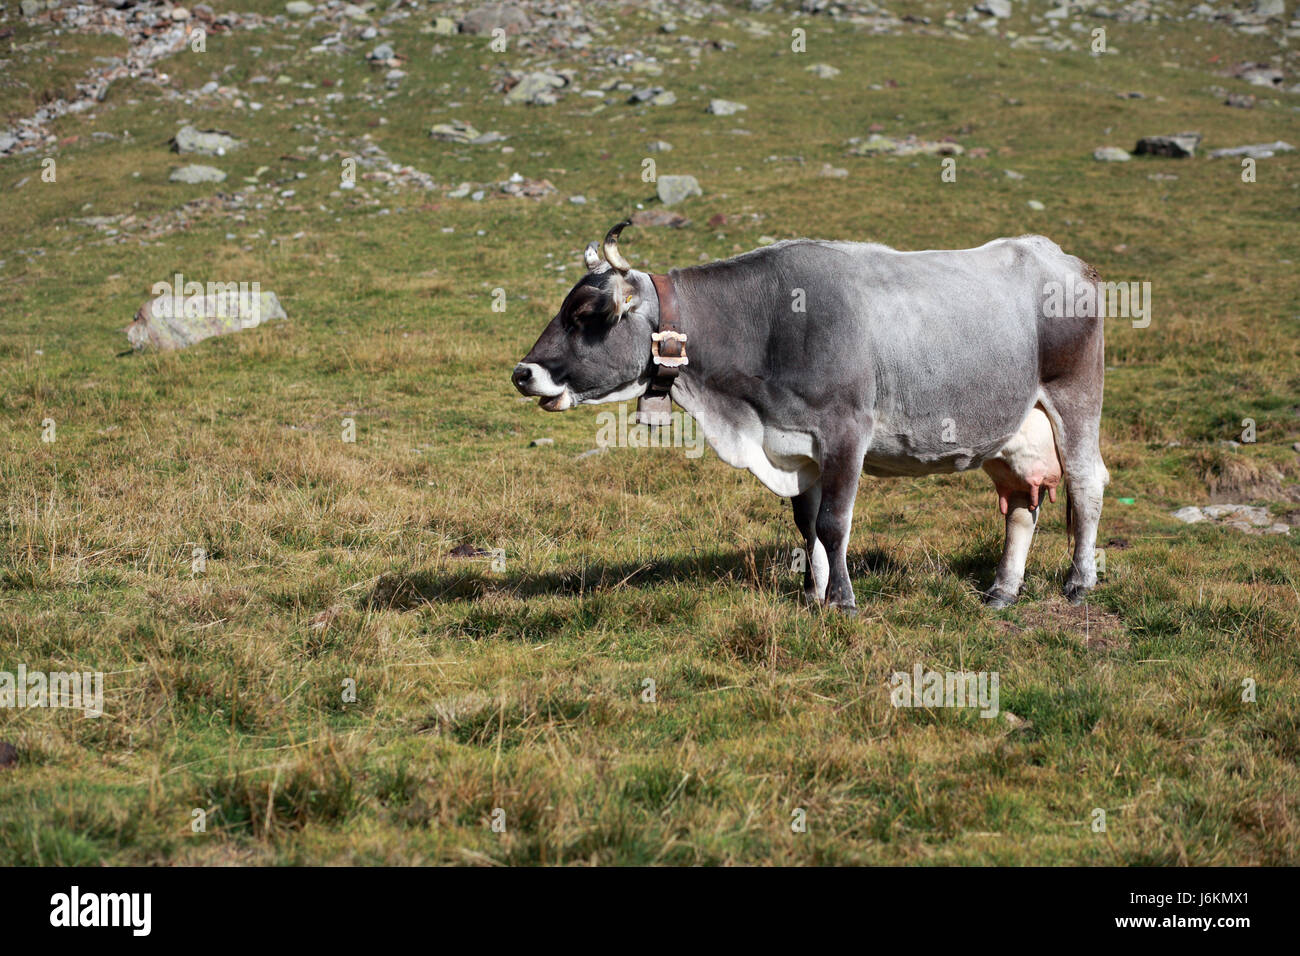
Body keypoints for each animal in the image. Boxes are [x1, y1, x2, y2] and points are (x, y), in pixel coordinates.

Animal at [512, 221, 1109, 615]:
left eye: (588, 314)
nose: (522, 373)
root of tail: (1058, 256)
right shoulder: (794, 445)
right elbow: (806, 525)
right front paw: (813, 594)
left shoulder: (846, 433)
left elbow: (833, 522)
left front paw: (842, 600)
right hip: (1012, 430)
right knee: (1022, 506)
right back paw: (1002, 590)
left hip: (1076, 397)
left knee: (1086, 484)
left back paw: (1080, 582)